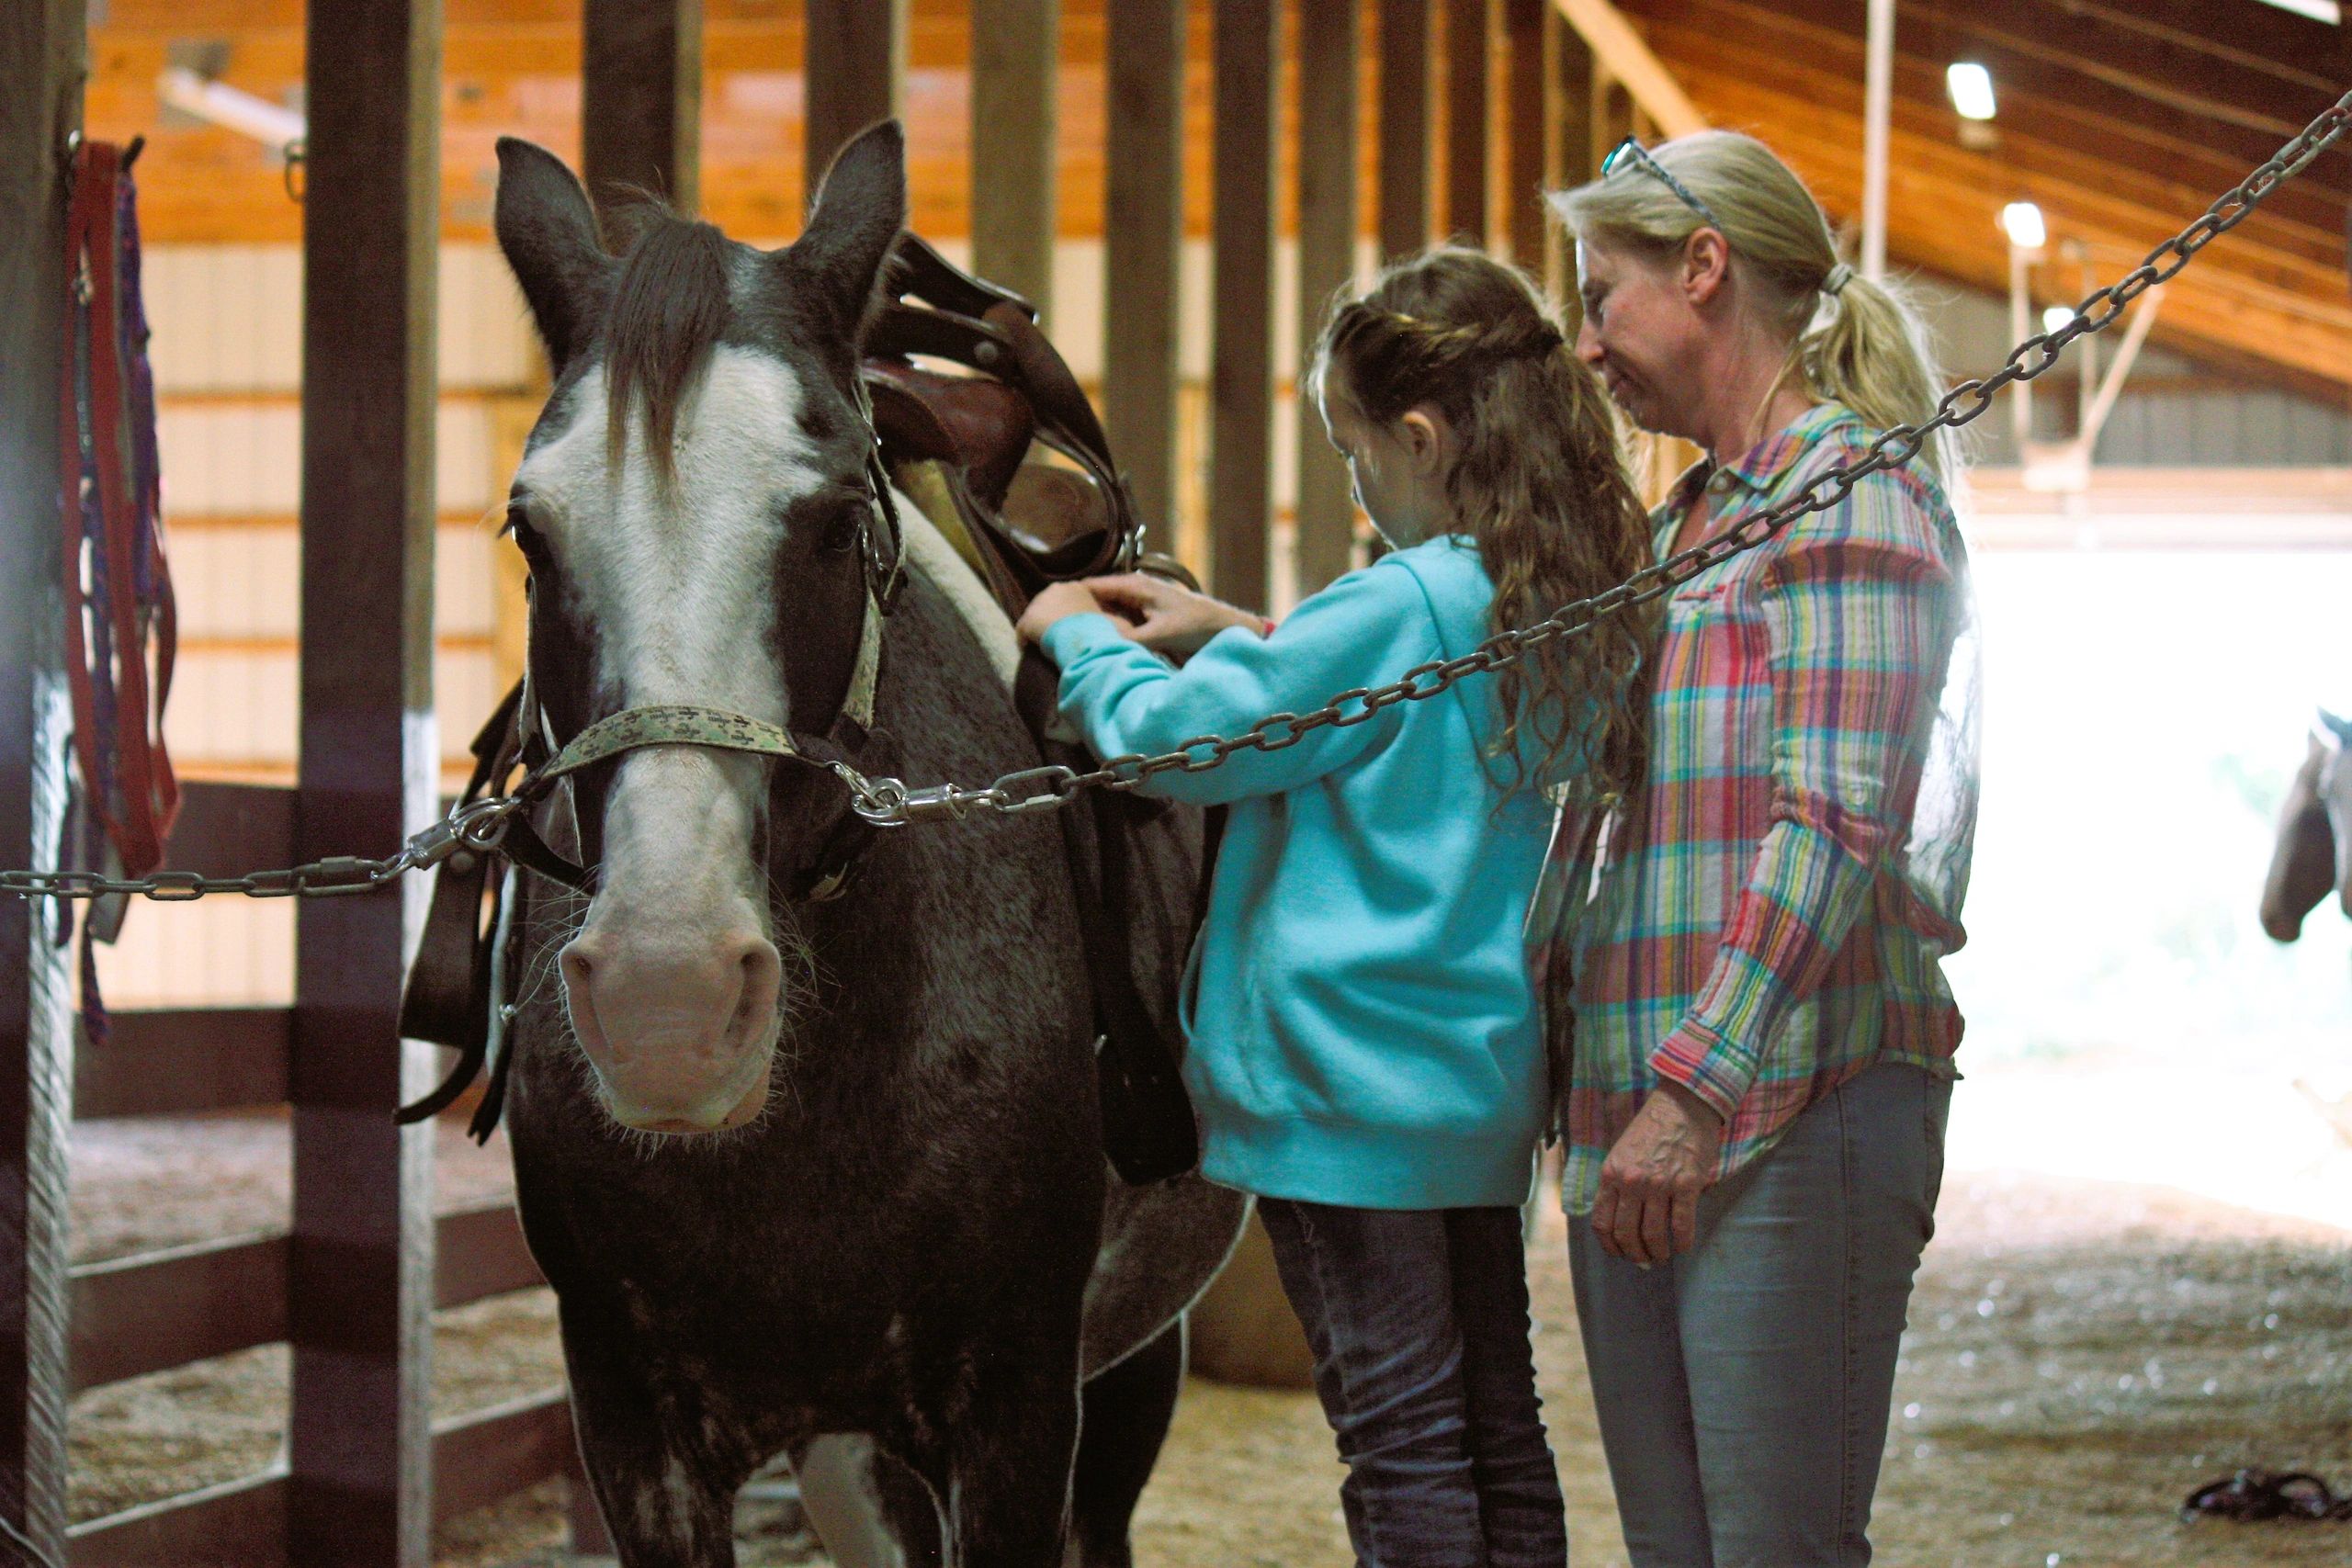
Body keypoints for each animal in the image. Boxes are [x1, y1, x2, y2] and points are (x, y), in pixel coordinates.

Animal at [485, 121, 1247, 1566]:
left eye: (841, 519)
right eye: (530, 530)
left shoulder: (1017, 1411)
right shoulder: (637, 1429)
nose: (670, 1000)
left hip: (1126, 1379)